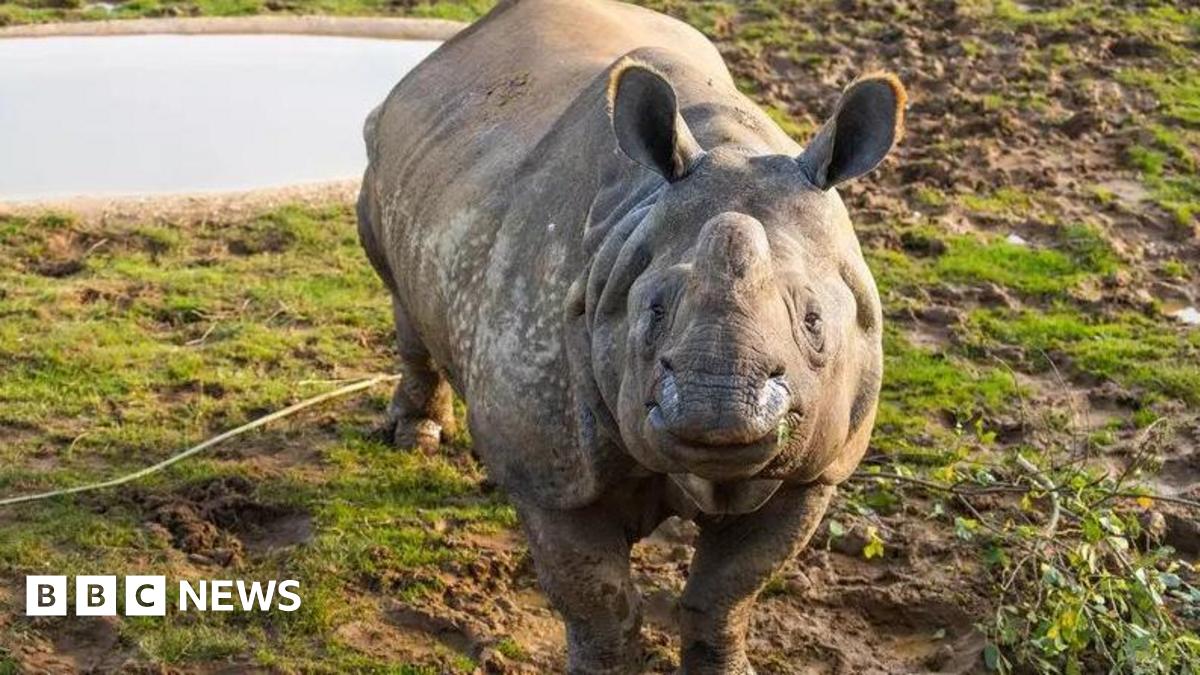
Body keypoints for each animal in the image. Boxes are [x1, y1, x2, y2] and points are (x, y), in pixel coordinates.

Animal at [357, 0, 904, 671]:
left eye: (814, 323)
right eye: (654, 312)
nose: (719, 405)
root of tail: (449, 51)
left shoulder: (819, 467)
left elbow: (727, 594)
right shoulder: (556, 467)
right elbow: (597, 601)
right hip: (386, 153)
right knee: (399, 290)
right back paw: (417, 439)